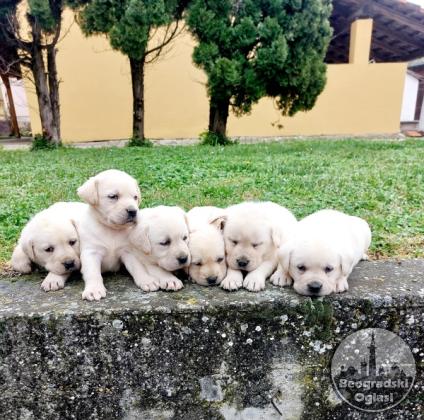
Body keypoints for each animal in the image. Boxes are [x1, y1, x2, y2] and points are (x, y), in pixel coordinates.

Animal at [77, 169, 142, 300]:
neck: (111, 229)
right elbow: (93, 273)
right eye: (113, 196)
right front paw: (94, 289)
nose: (133, 211)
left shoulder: (128, 251)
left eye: (135, 197)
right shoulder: (91, 252)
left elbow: (137, 267)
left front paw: (148, 280)